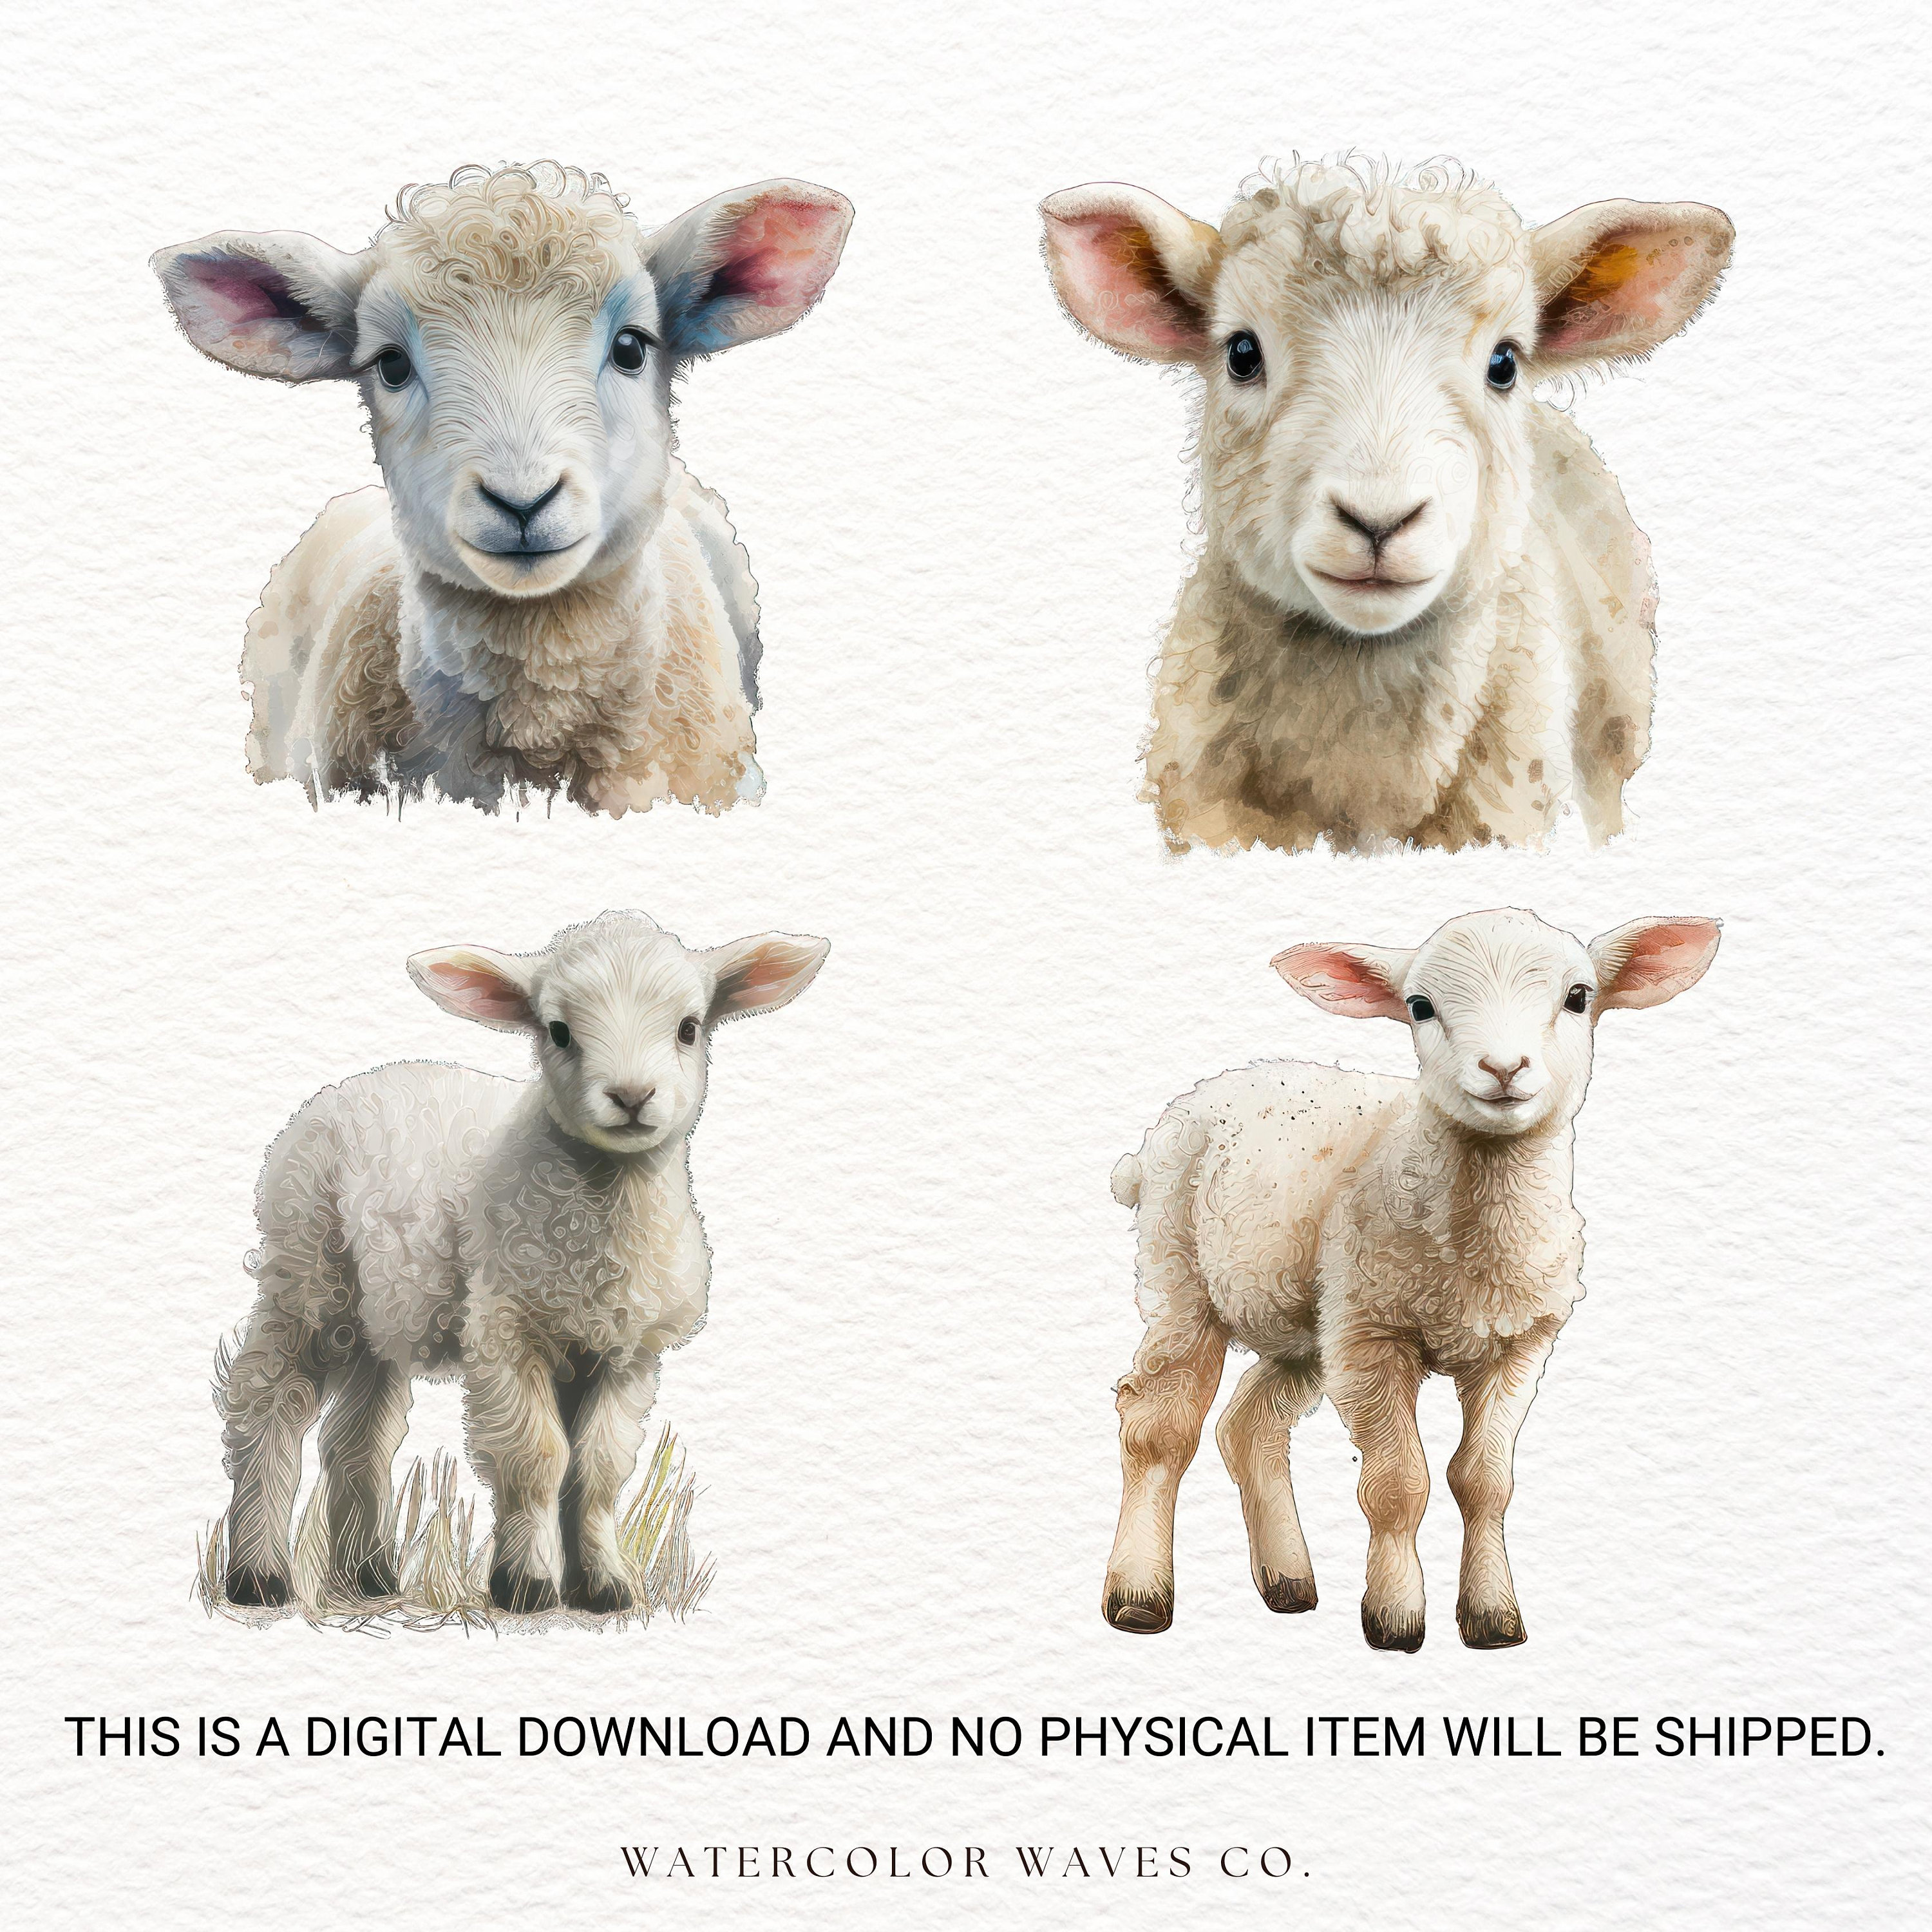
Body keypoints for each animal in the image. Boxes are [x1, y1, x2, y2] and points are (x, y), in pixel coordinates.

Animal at [217, 911, 828, 1615]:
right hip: (309, 1272)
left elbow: (597, 1470)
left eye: (689, 1027)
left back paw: (367, 1575)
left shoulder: (625, 1349)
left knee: (356, 1440)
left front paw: (604, 1585)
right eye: (558, 1031)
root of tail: (348, 1088)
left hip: (383, 1315)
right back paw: (259, 1574)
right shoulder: (508, 1330)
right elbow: (538, 1458)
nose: (631, 1096)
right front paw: (529, 1583)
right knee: (267, 1404)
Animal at [1102, 907, 1719, 1648]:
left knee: (1249, 1426)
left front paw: (1493, 1616)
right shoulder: (1374, 1338)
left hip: (1309, 1319)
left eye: (1579, 997)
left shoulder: (1518, 1346)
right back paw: (1139, 1594)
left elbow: (1484, 1482)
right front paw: (1396, 1617)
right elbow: (1398, 1486)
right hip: (1183, 1272)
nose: (1504, 1068)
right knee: (1158, 1427)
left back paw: (1288, 1581)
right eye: (1420, 1006)